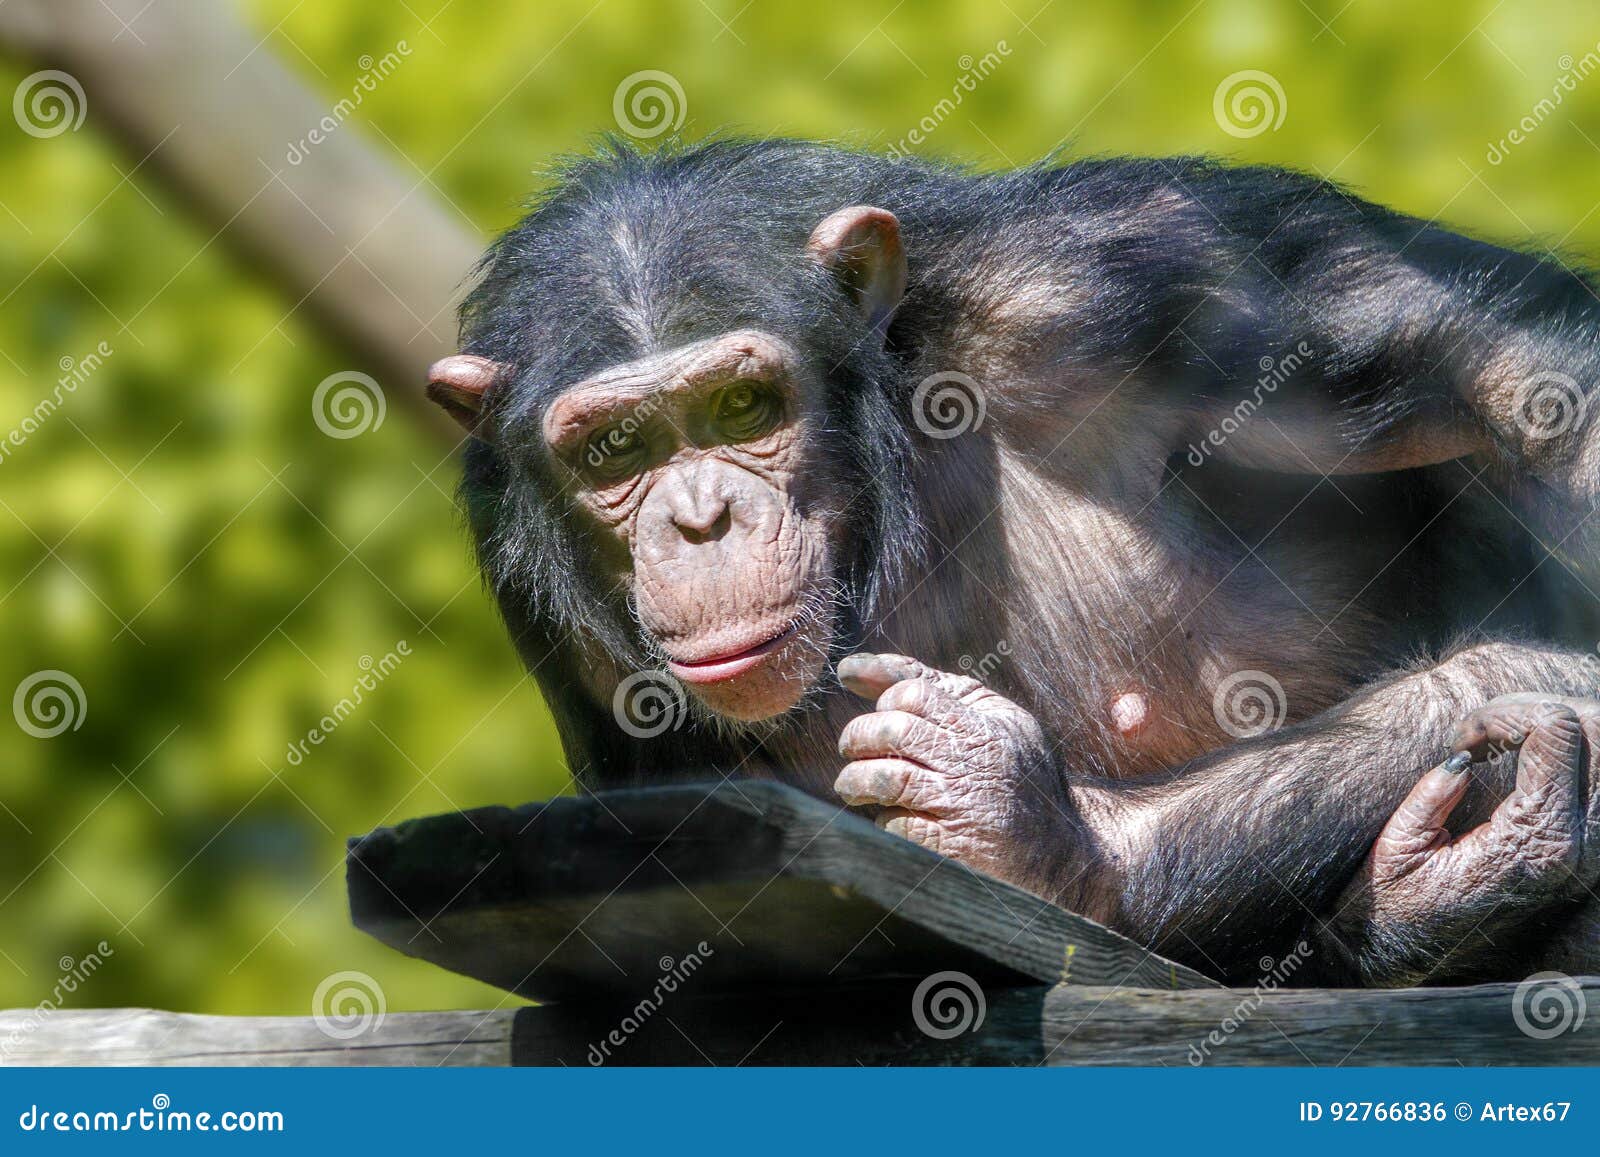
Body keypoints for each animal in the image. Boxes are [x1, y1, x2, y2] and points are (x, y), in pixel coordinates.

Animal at [425, 138, 1600, 986]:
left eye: (744, 405)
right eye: (615, 450)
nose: (702, 518)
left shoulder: (1130, 272)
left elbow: (1528, 387)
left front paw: (1034, 828)